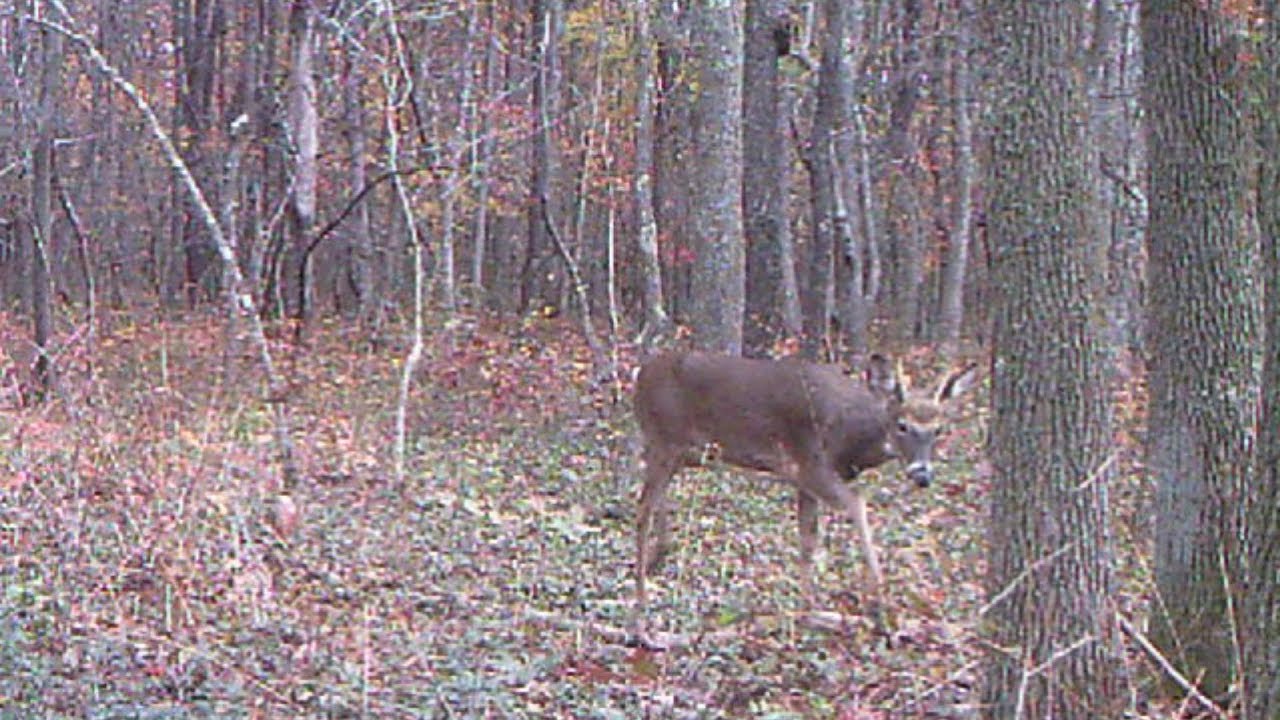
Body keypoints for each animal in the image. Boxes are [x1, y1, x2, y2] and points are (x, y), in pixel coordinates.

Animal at [631, 351, 977, 645]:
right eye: (902, 425)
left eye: (939, 429)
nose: (923, 476)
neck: (851, 439)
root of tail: (641, 374)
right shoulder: (809, 466)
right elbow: (858, 505)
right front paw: (879, 609)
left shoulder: (805, 482)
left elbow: (808, 540)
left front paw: (811, 611)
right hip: (664, 439)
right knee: (643, 509)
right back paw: (641, 615)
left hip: (681, 452)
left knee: (657, 501)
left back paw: (657, 559)